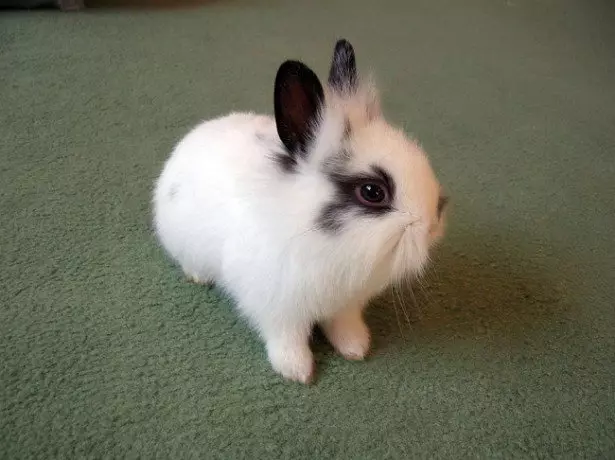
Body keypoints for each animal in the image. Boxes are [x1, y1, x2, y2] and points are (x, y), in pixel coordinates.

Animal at [151, 40, 446, 384]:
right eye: (373, 192)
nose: (432, 226)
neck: (324, 243)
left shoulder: (345, 305)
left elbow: (343, 325)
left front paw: (355, 348)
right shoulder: (277, 309)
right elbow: (287, 339)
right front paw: (297, 371)